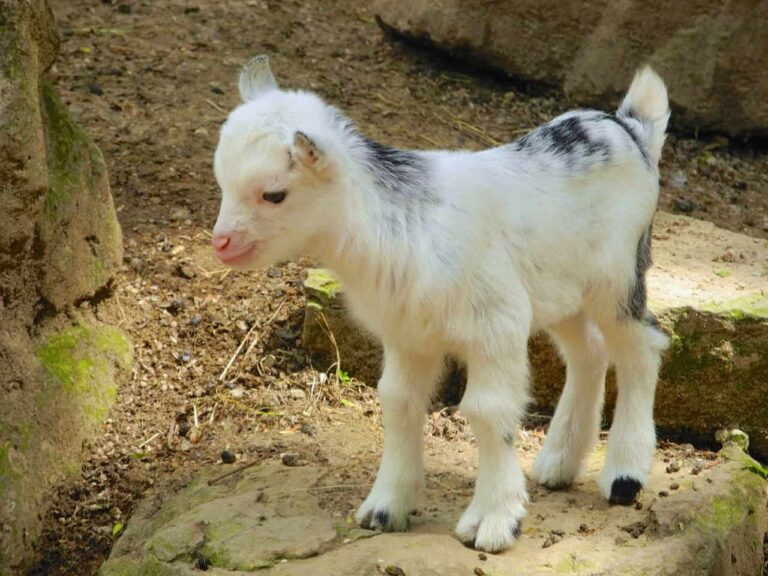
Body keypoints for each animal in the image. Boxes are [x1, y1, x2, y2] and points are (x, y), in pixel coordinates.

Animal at [212, 55, 670, 553]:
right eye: (222, 182)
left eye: (274, 193)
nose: (222, 244)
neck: (399, 222)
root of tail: (630, 128)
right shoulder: (408, 334)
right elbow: (398, 401)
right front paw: (384, 509)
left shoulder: (496, 325)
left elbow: (487, 411)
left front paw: (494, 522)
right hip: (562, 291)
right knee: (589, 352)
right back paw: (558, 463)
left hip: (619, 277)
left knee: (641, 347)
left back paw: (624, 476)